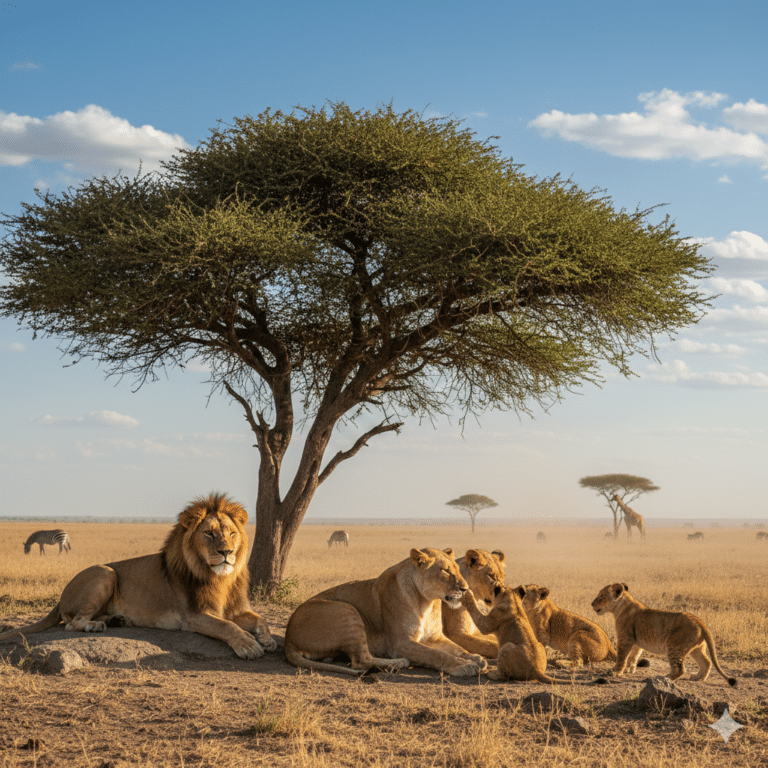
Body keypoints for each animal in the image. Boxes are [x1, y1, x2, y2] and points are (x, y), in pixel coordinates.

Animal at [0, 493, 277, 659]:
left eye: (231, 533)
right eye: (209, 533)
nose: (226, 552)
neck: (221, 579)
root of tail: (60, 597)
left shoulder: (234, 609)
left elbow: (260, 619)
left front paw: (267, 640)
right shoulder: (193, 616)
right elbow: (225, 625)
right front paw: (248, 645)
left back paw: (116, 620)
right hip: (106, 572)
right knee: (72, 623)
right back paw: (96, 625)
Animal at [284, 548, 488, 677]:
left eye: (458, 570)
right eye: (446, 571)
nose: (465, 589)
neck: (427, 602)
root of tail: (287, 638)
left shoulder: (434, 637)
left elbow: (456, 648)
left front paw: (475, 658)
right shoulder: (400, 643)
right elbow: (436, 654)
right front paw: (463, 665)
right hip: (346, 610)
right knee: (360, 660)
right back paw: (398, 663)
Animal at [591, 583, 736, 686]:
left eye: (601, 596)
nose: (591, 604)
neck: (619, 608)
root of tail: (700, 622)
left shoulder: (625, 639)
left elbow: (621, 657)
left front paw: (615, 672)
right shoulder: (636, 642)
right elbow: (633, 656)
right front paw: (629, 670)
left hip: (674, 645)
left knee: (680, 669)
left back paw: (663, 678)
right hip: (696, 648)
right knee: (706, 662)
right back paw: (697, 677)